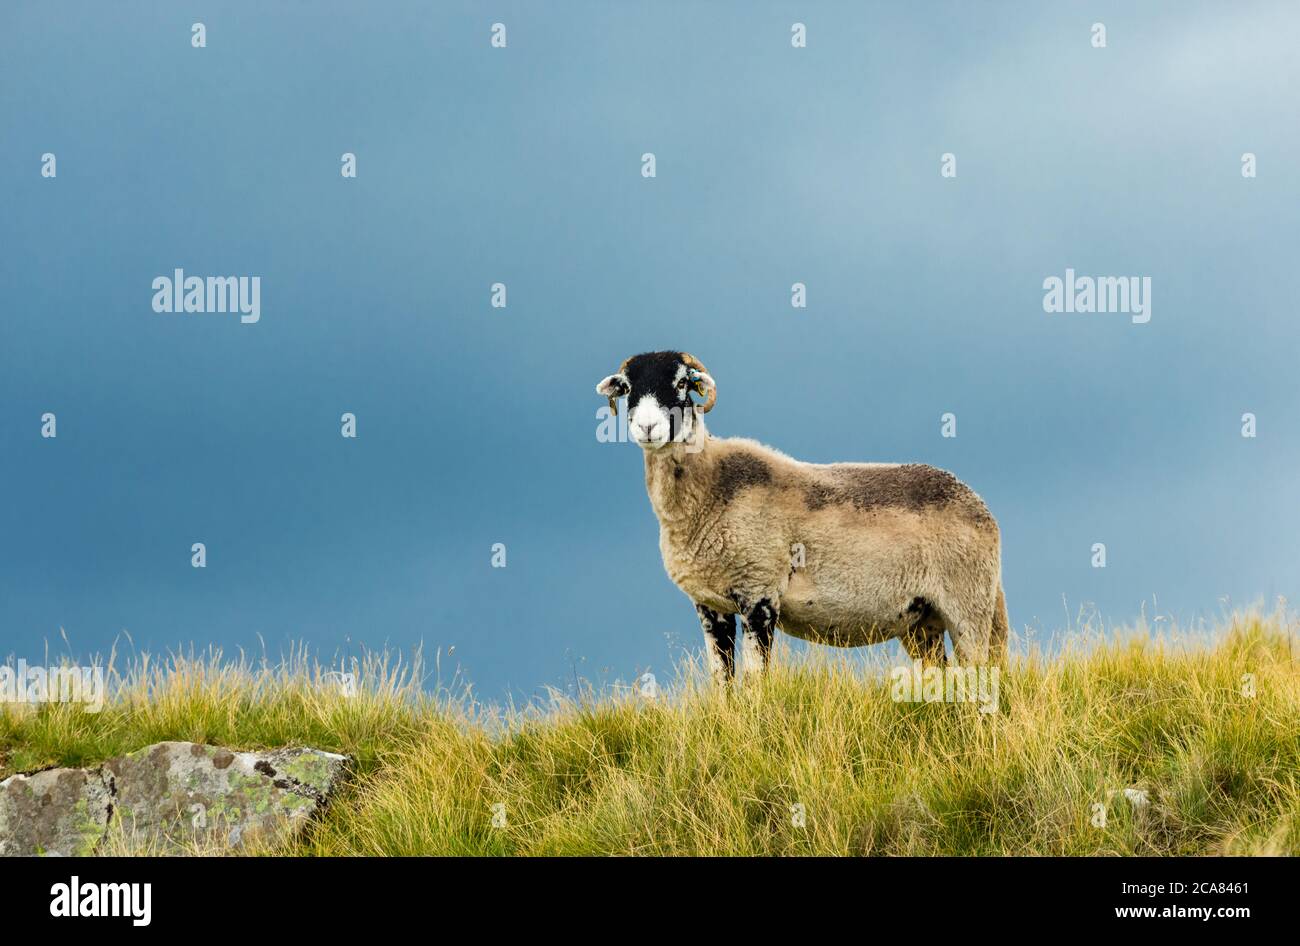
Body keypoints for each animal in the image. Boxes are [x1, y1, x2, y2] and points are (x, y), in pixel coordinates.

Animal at [596, 350, 1009, 683]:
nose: (647, 427)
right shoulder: (710, 605)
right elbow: (722, 681)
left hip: (968, 605)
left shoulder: (760, 594)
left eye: (682, 382)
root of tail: (979, 506)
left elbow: (756, 680)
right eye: (628, 387)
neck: (712, 486)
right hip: (921, 622)